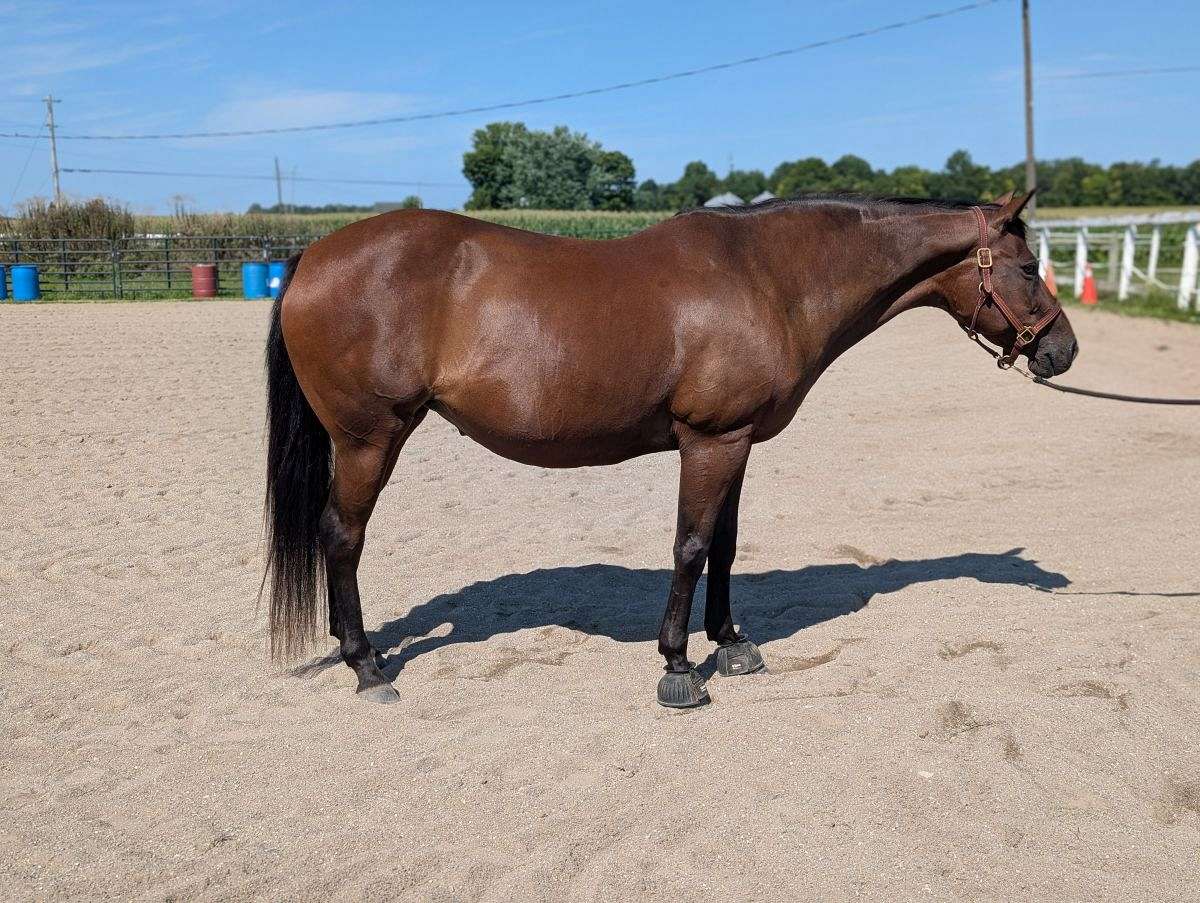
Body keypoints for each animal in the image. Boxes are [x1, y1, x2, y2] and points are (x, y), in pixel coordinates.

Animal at [263, 189, 1077, 708]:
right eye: (1027, 268)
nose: (1063, 350)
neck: (767, 276)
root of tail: (312, 256)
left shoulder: (737, 441)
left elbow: (724, 543)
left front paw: (732, 642)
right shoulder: (709, 441)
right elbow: (689, 544)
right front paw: (679, 666)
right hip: (369, 440)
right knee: (342, 536)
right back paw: (367, 667)